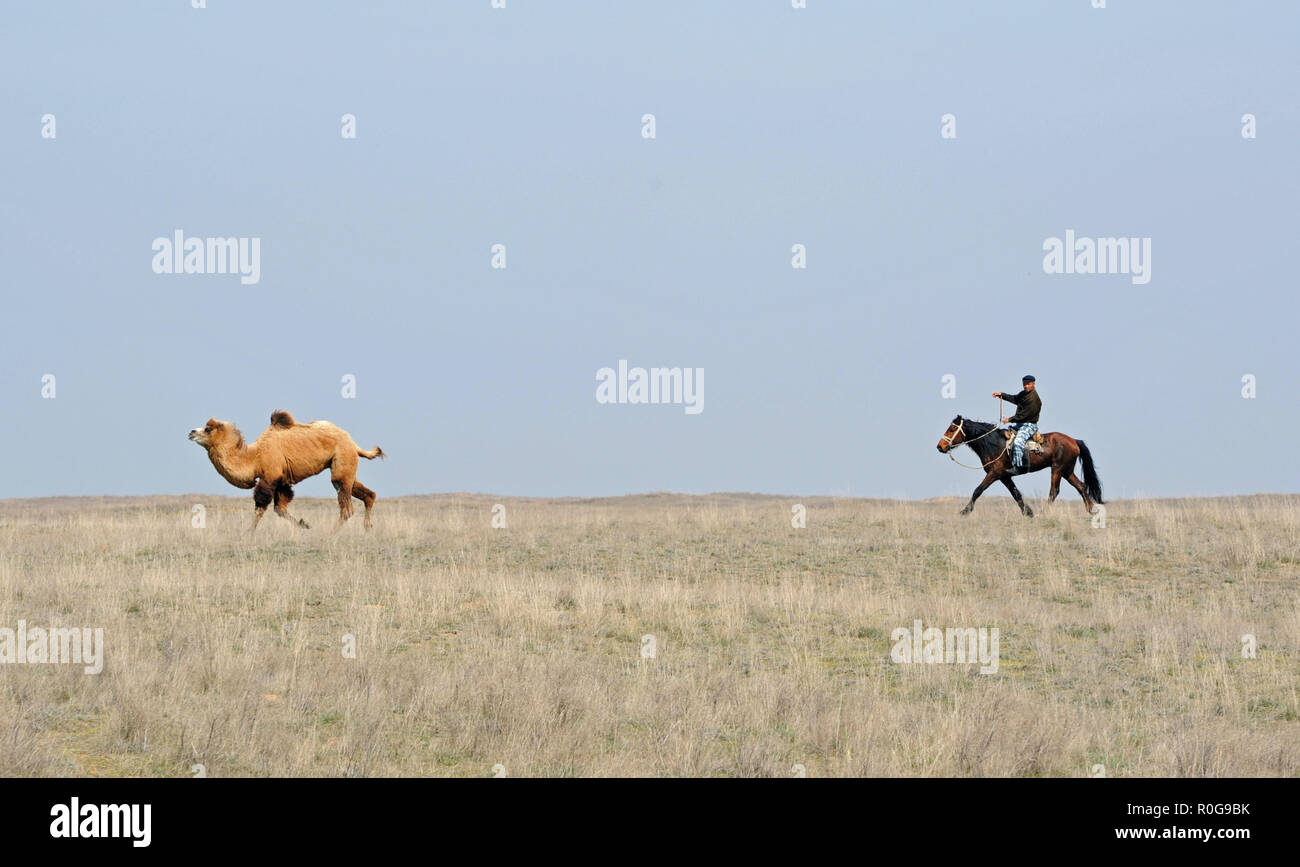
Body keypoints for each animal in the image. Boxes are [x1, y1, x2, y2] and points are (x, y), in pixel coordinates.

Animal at [189, 410, 384, 530]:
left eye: (207, 429)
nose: (191, 432)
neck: (254, 457)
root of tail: (353, 443)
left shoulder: (270, 477)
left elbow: (261, 508)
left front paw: (248, 532)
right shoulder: (281, 481)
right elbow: (280, 509)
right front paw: (305, 525)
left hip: (342, 461)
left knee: (346, 506)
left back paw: (330, 534)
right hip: (346, 466)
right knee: (368, 494)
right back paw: (367, 527)